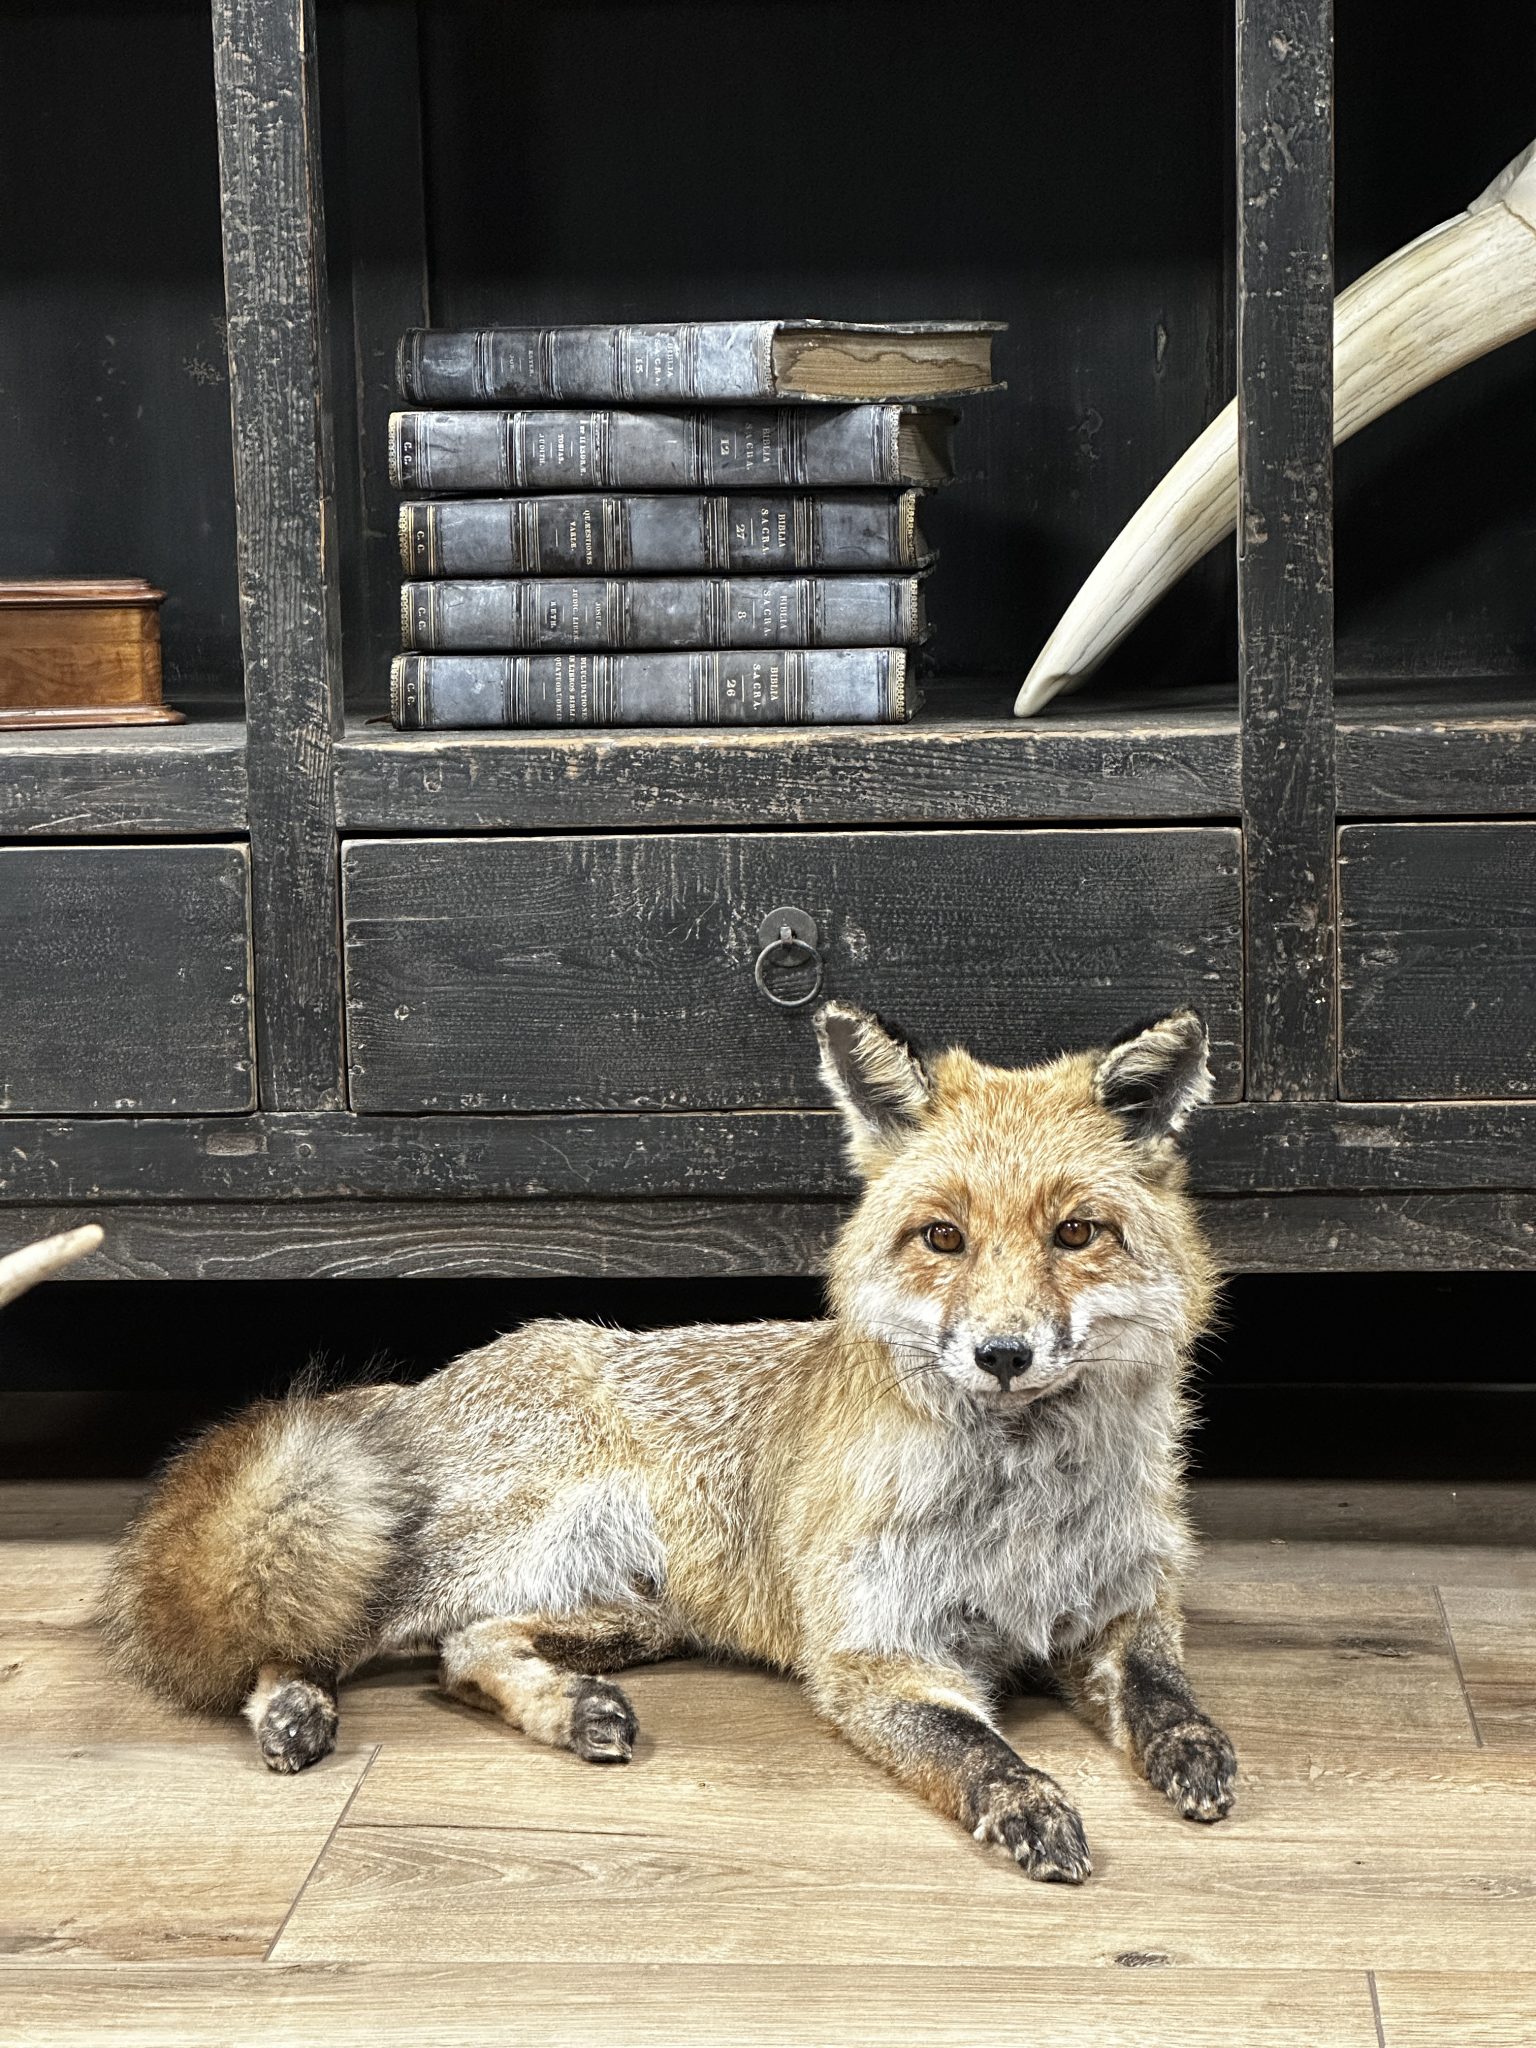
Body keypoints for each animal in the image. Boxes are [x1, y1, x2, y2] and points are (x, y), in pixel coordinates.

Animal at [102, 1001, 1236, 1881]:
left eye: (1075, 1234)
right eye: (943, 1238)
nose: (1002, 1353)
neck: (1022, 1505)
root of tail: (437, 1379)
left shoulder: (1123, 1610)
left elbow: (1165, 1693)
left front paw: (1194, 1750)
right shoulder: (875, 1651)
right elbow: (971, 1747)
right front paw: (1028, 1802)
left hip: (643, 1611)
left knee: (463, 1650)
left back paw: (572, 1711)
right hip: (459, 1557)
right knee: (293, 1625)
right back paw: (291, 1703)